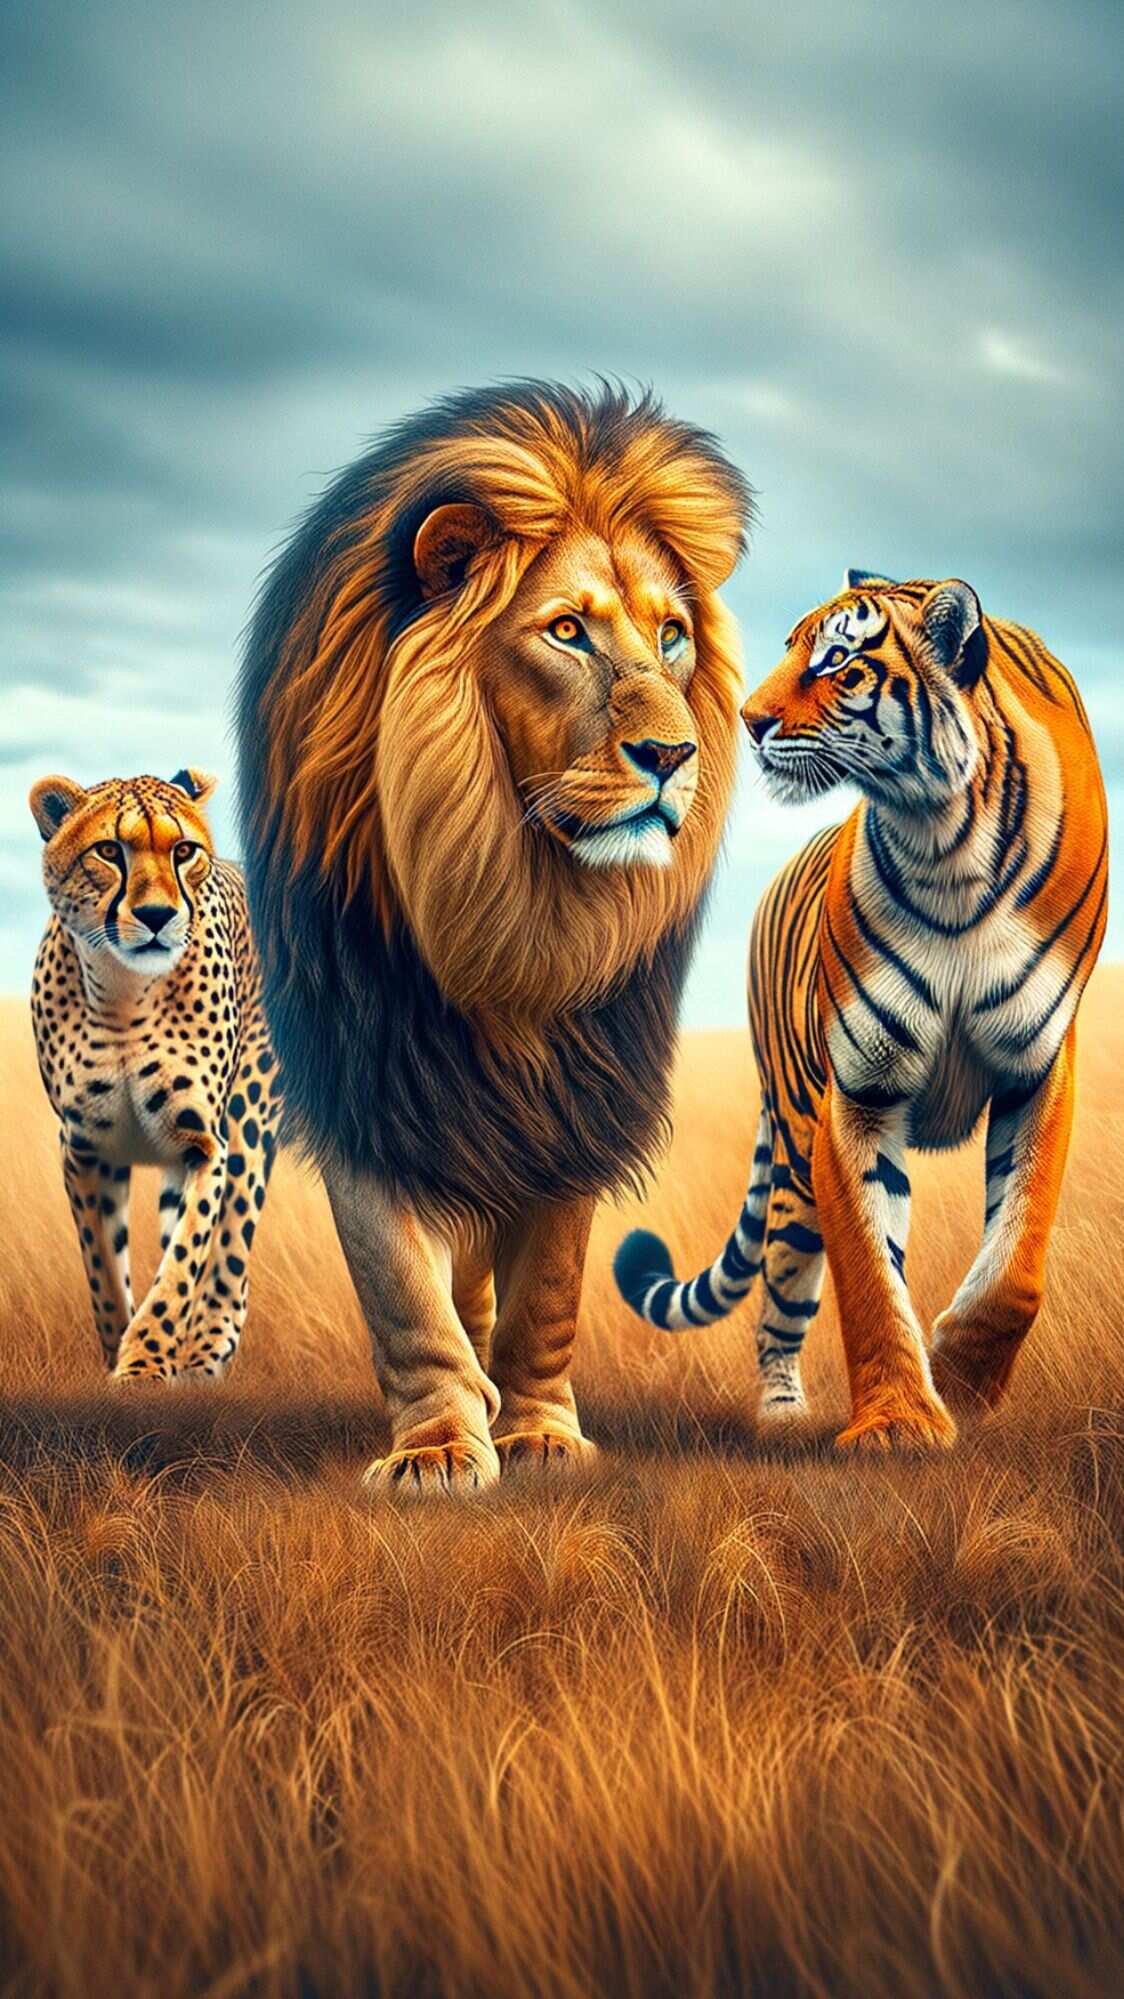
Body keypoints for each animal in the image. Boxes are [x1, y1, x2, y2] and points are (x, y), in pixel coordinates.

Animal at [236, 380, 752, 1493]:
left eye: (672, 634)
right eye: (565, 632)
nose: (674, 753)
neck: (508, 904)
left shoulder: (572, 1095)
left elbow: (546, 1292)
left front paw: (540, 1436)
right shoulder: (370, 1075)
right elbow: (402, 1290)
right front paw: (436, 1446)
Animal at [614, 570, 1108, 1450]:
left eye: (839, 662)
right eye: (788, 650)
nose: (748, 720)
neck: (947, 840)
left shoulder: (1039, 1067)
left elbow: (1014, 1262)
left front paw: (961, 1379)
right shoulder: (860, 1092)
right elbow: (869, 1275)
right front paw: (900, 1421)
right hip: (793, 1157)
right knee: (778, 1304)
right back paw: (781, 1415)